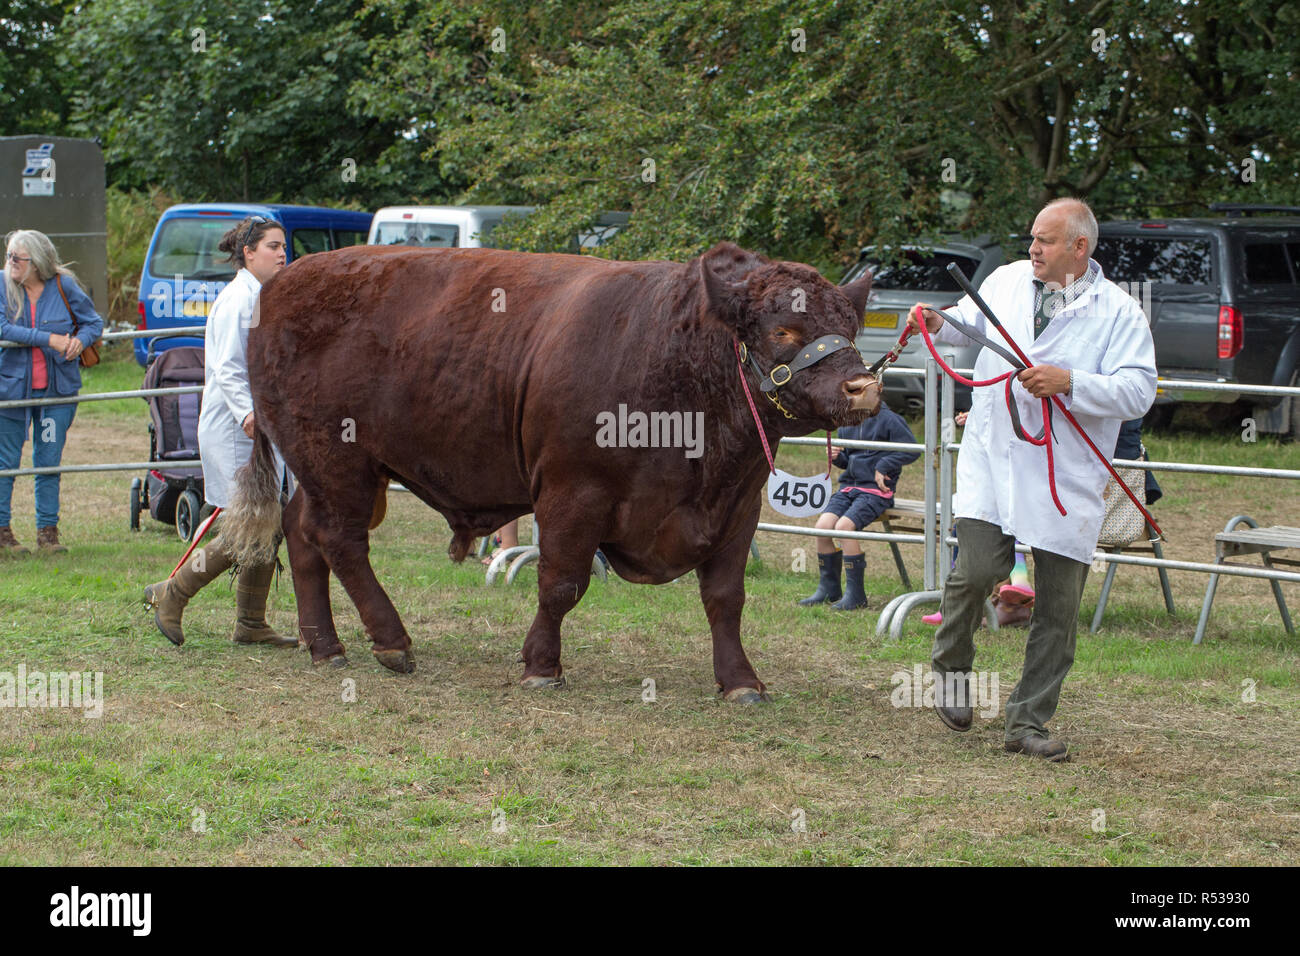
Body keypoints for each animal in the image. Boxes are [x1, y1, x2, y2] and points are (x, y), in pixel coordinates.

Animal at [222, 242, 880, 702]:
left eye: (849, 325)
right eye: (783, 329)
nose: (864, 386)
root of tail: (285, 283)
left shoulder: (737, 504)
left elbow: (725, 596)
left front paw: (741, 680)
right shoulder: (574, 492)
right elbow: (561, 582)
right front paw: (542, 665)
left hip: (325, 470)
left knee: (302, 535)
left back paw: (325, 646)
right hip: (337, 461)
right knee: (339, 540)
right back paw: (390, 641)